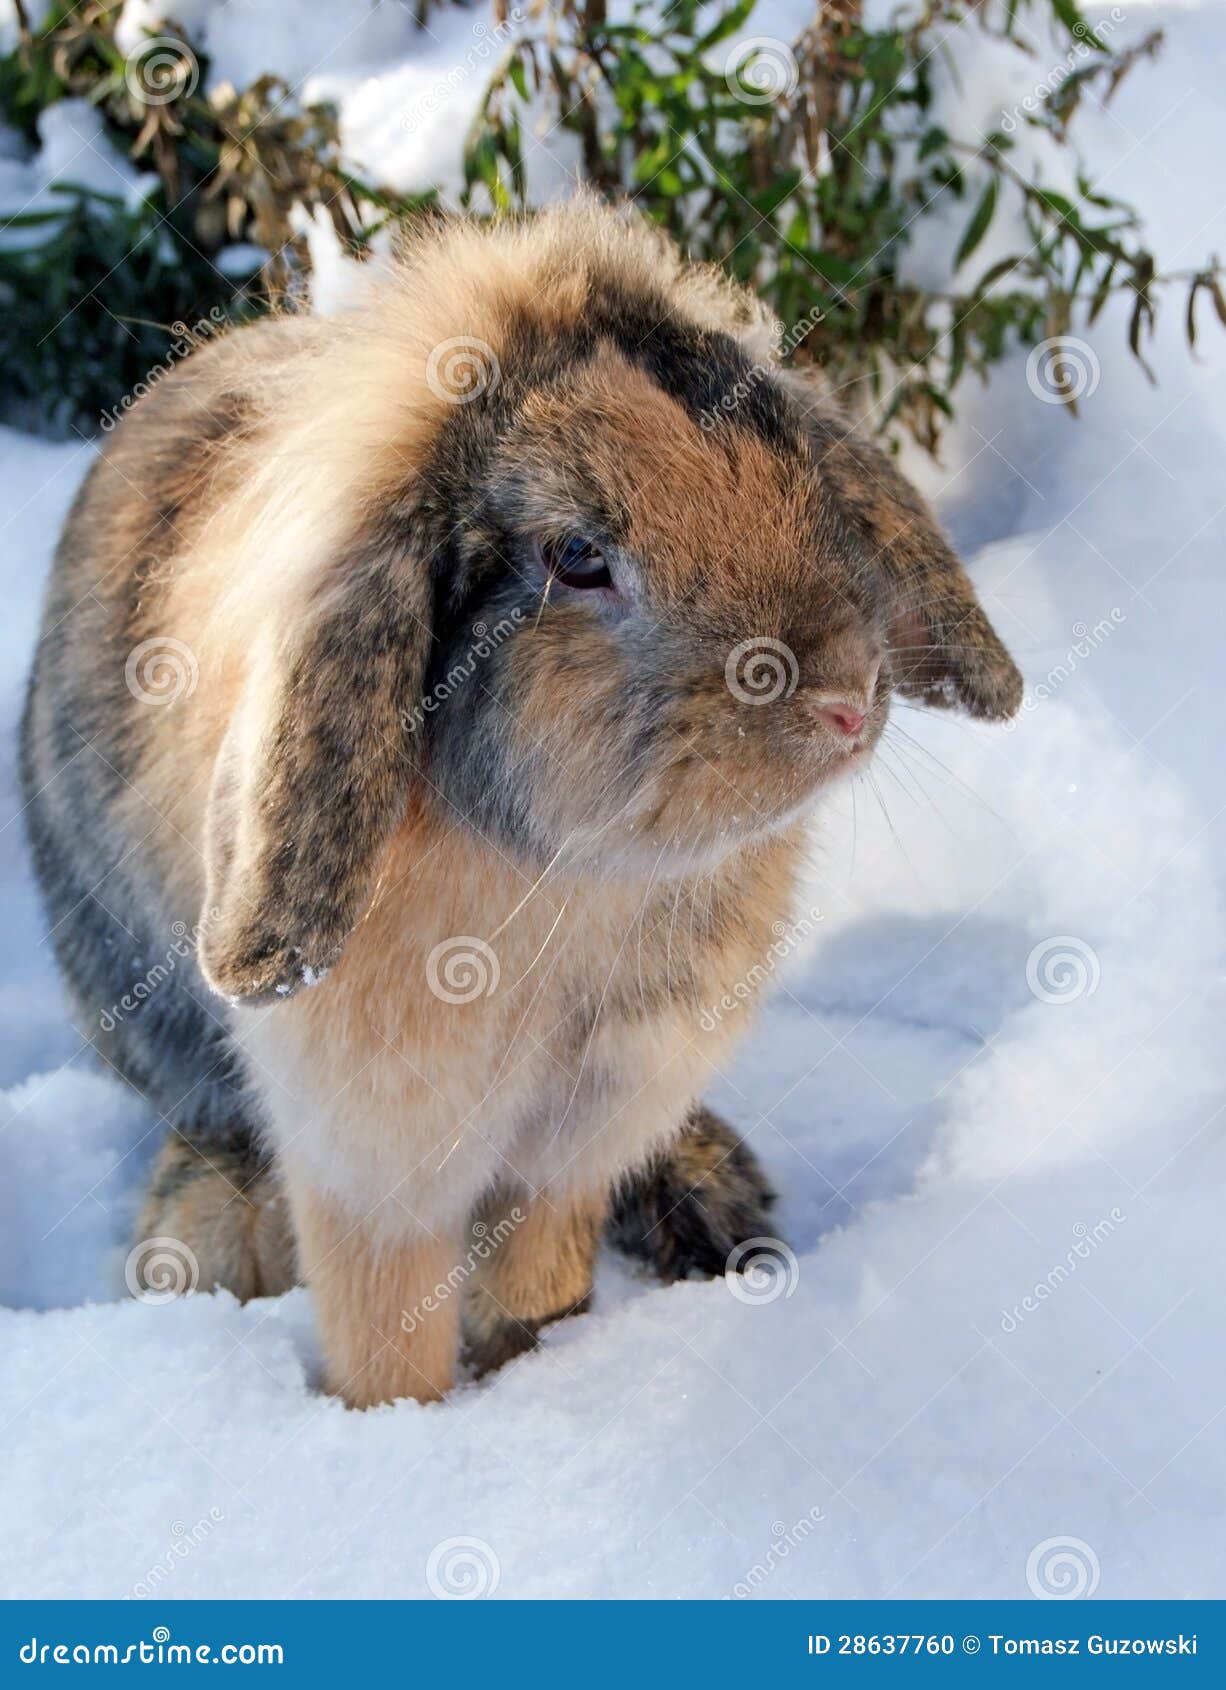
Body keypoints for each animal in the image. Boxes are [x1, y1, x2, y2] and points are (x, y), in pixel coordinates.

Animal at [21, 197, 1021, 1408]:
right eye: (578, 555)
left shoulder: (577, 1135)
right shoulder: (377, 1161)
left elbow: (538, 1273)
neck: (573, 882)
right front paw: (396, 1423)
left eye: (794, 469)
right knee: (207, 1117)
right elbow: (386, 1324)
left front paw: (532, 1368)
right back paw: (208, 1240)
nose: (844, 696)